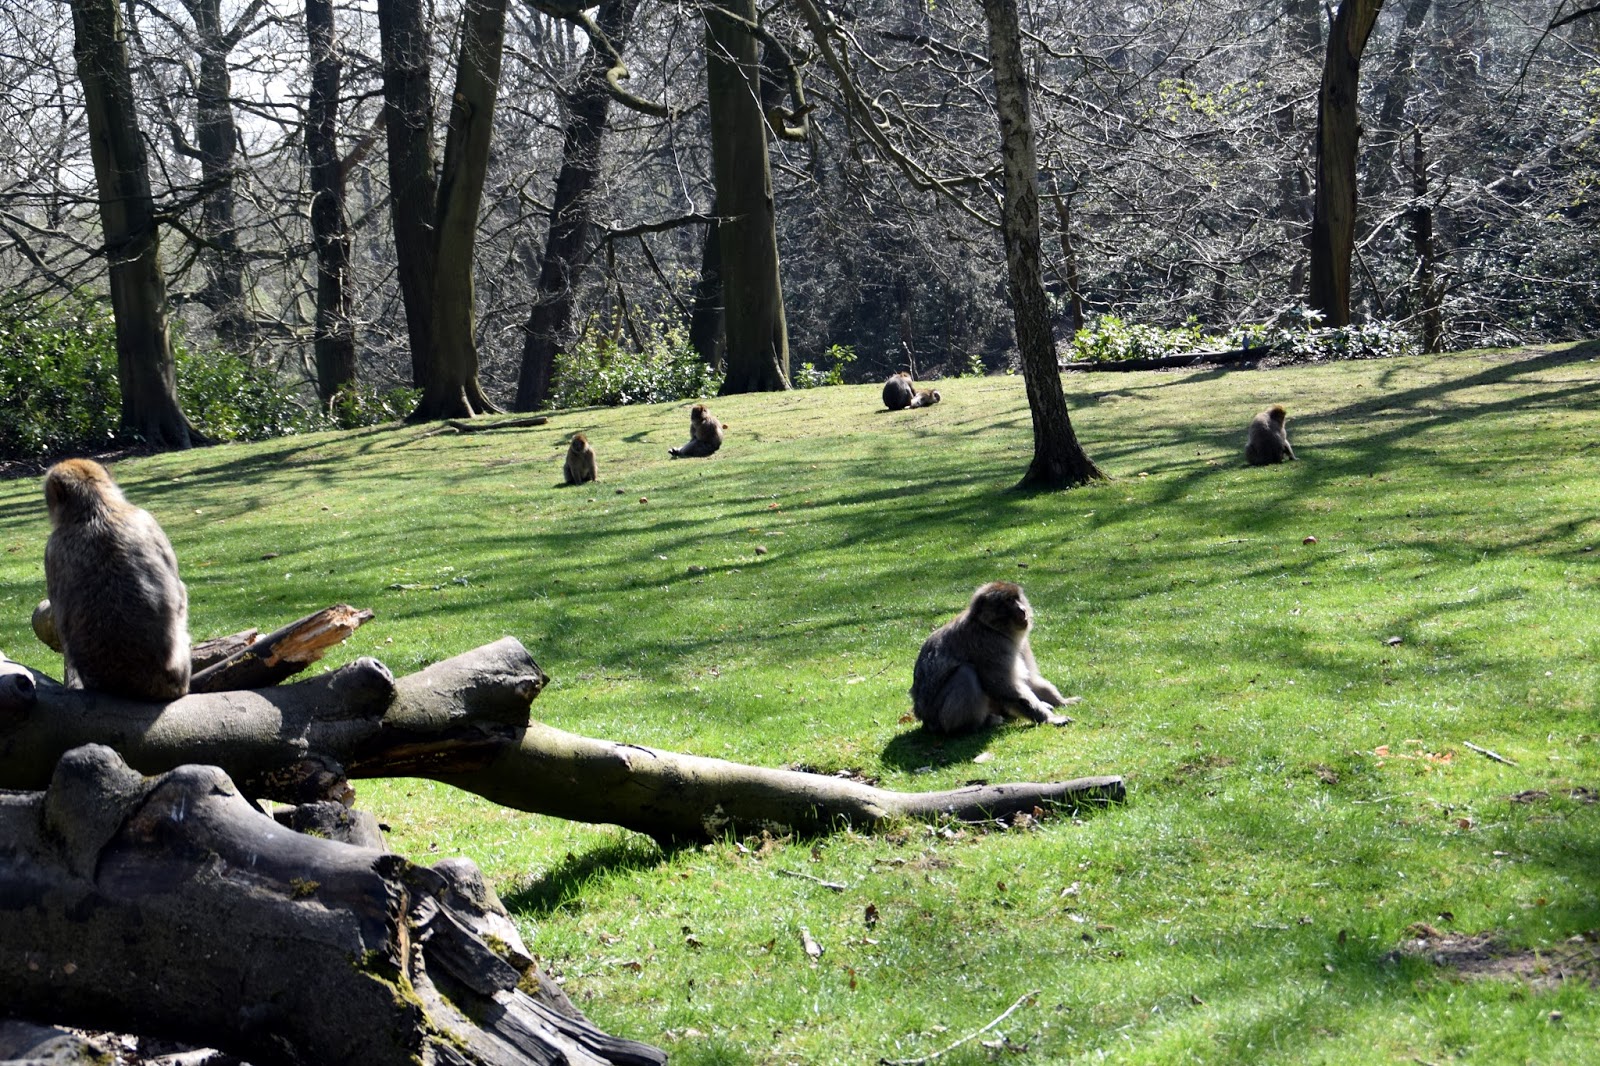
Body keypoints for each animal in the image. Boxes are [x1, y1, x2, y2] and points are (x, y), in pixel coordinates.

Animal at [909, 581, 1072, 735]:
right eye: (1008, 601)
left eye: (1017, 598)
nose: (1022, 610)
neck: (993, 628)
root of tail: (923, 720)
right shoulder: (989, 644)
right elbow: (1003, 686)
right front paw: (1049, 718)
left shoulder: (1022, 644)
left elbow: (1030, 678)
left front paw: (1061, 701)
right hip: (938, 720)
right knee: (966, 673)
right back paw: (975, 725)